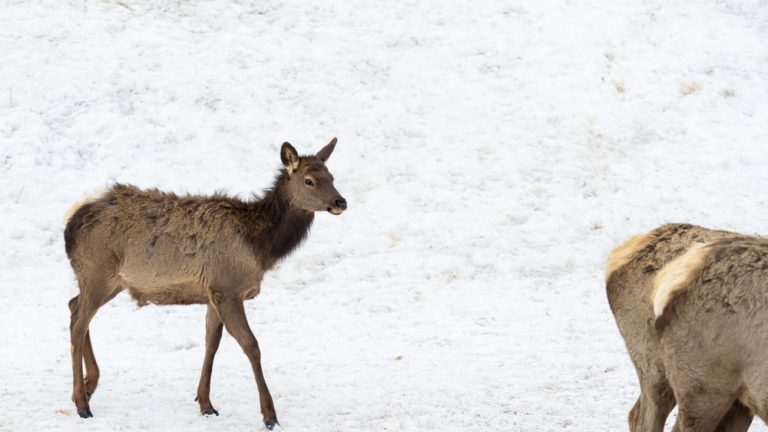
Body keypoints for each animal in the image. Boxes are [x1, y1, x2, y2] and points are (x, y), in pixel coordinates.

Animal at [63, 138, 347, 430]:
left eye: (332, 177)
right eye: (309, 180)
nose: (341, 201)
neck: (259, 248)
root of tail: (70, 221)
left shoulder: (213, 293)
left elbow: (212, 343)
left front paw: (206, 403)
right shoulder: (228, 288)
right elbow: (251, 345)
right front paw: (270, 415)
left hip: (105, 281)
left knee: (73, 305)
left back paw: (89, 386)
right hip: (97, 273)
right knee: (78, 321)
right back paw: (82, 403)